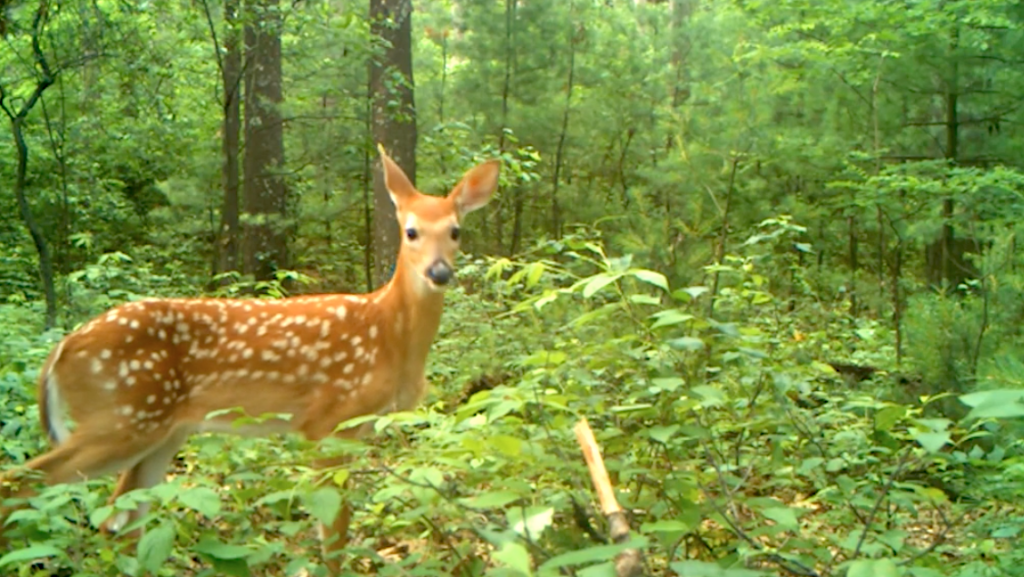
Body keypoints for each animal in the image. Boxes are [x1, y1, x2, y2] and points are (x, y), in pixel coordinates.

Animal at [0, 144, 500, 571]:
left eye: (455, 231)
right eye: (411, 231)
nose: (439, 272)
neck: (387, 333)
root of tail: (62, 349)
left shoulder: (355, 430)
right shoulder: (326, 422)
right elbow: (333, 536)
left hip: (162, 430)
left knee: (120, 521)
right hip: (119, 415)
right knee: (20, 486)